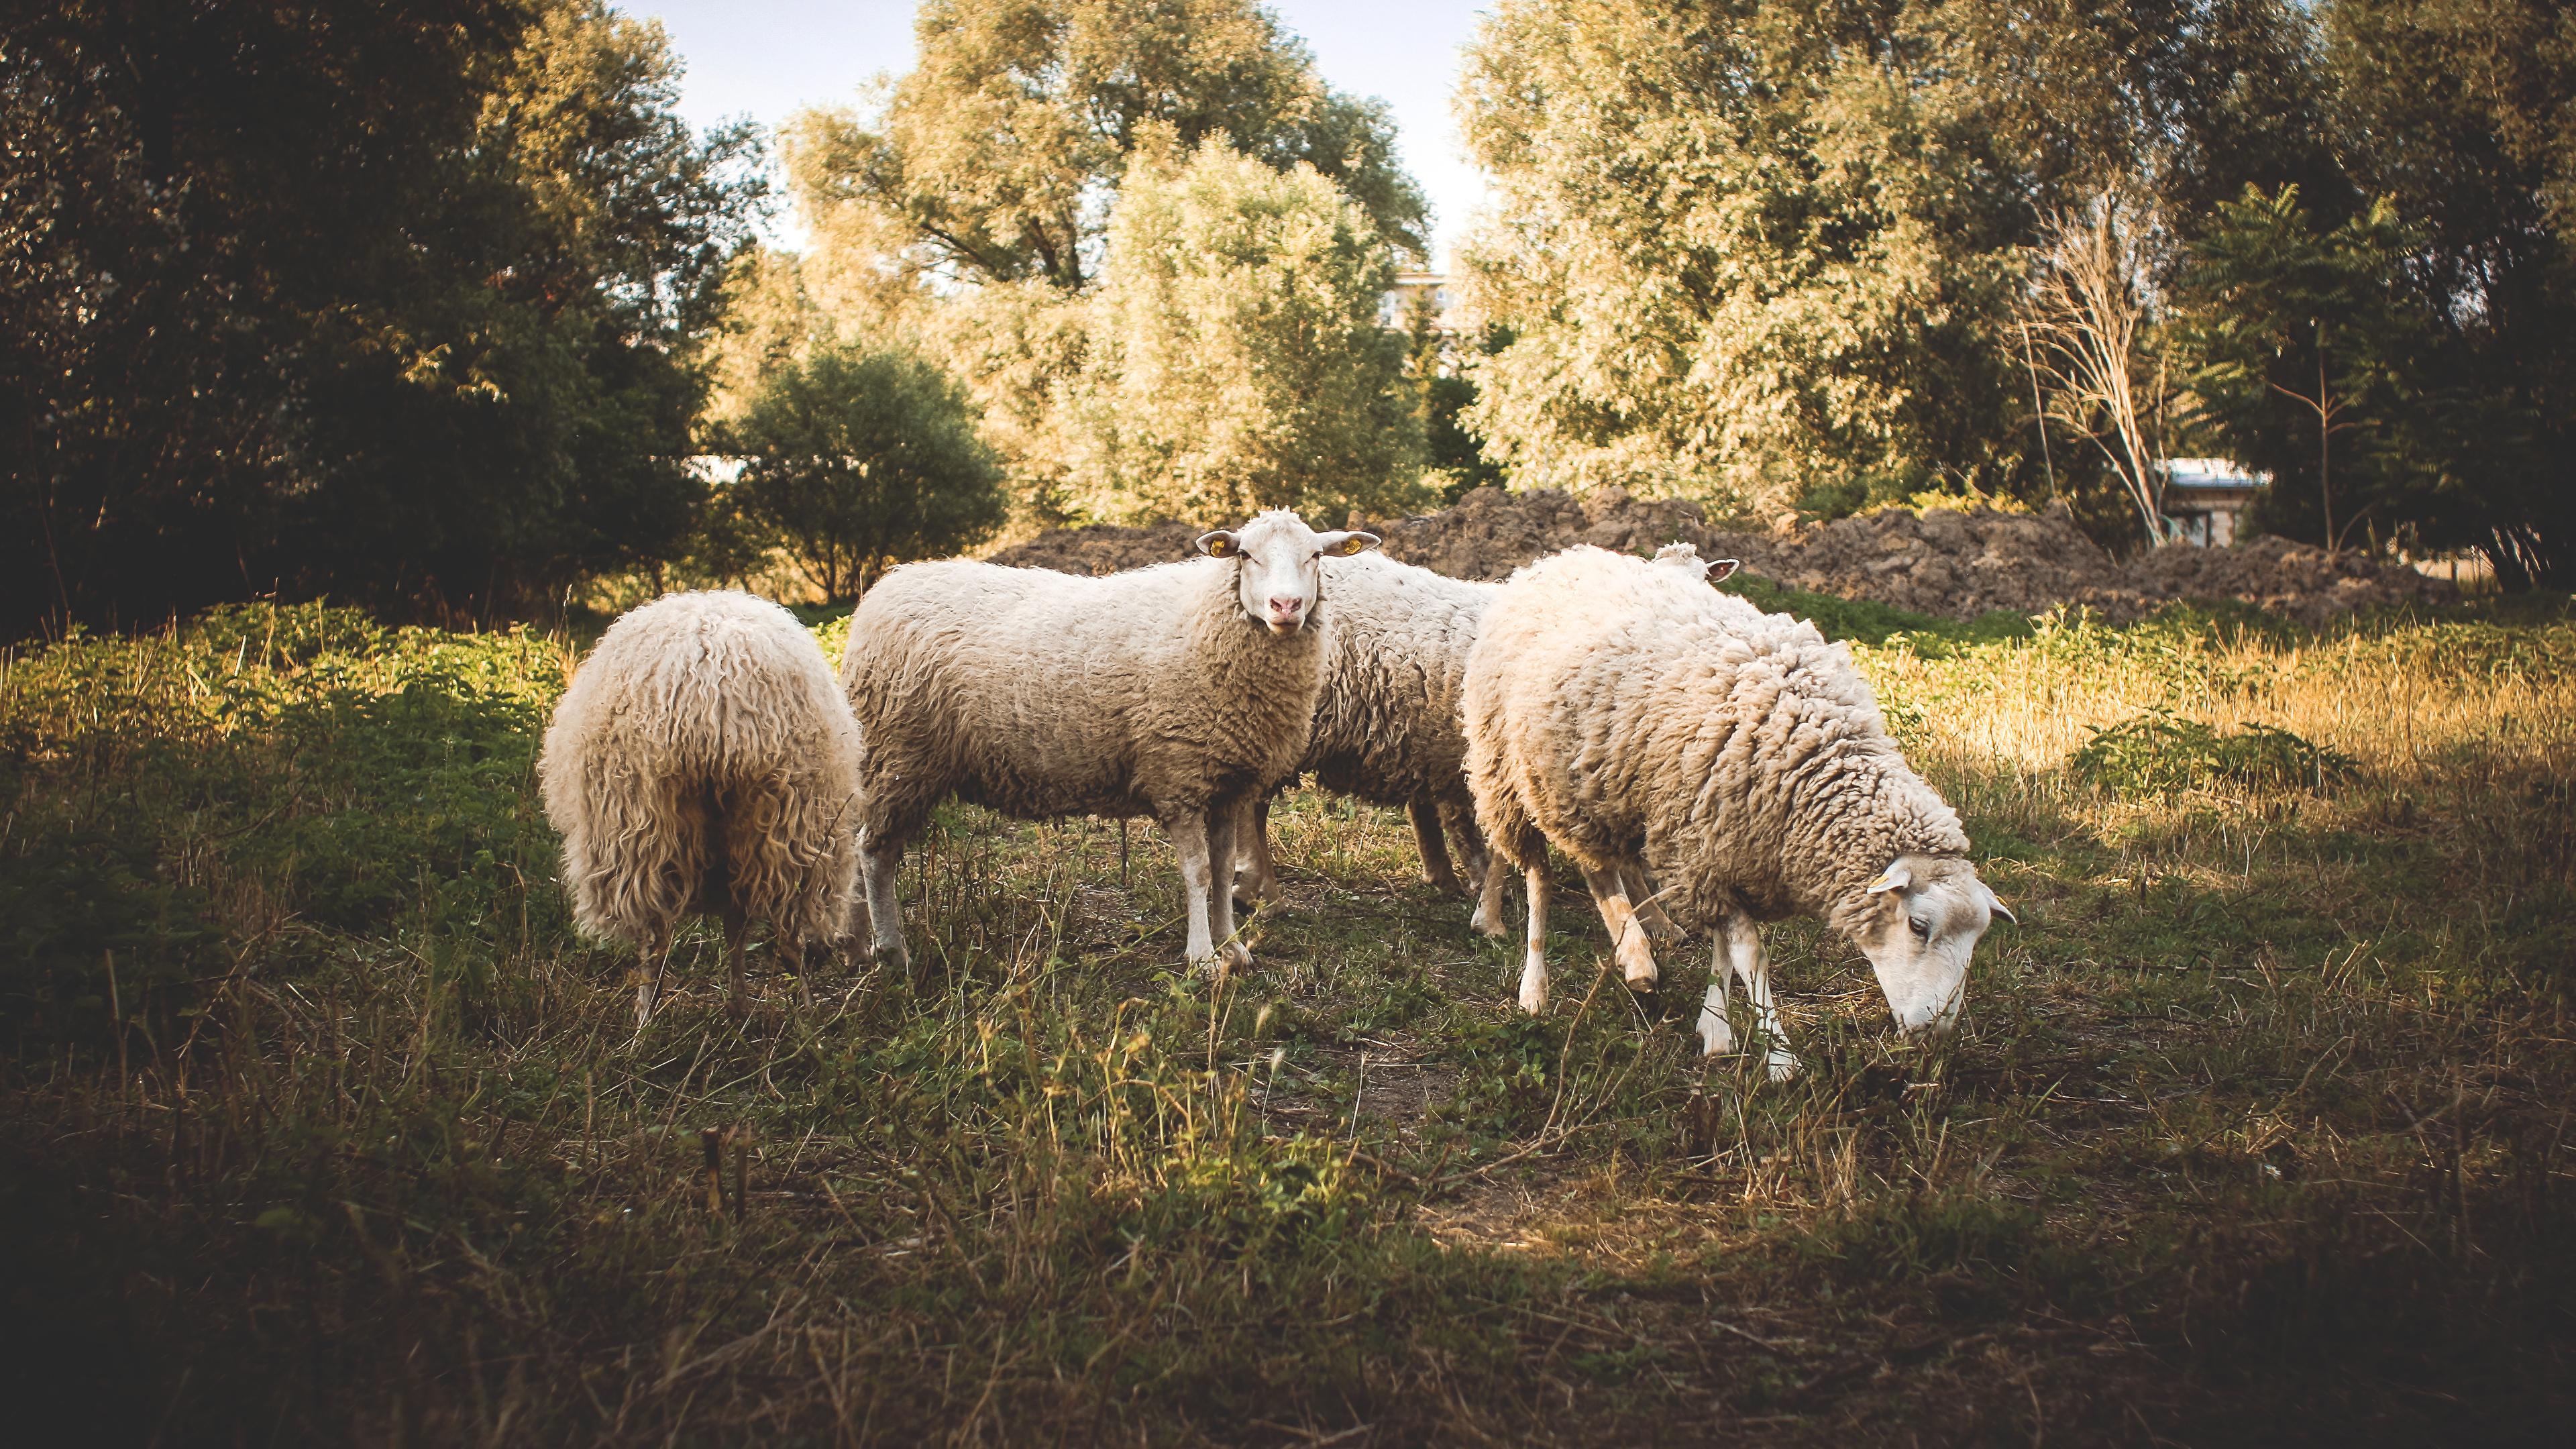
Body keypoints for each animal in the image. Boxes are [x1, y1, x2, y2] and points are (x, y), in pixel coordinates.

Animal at [538, 590, 862, 1032]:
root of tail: (711, 691)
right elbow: (737, 927)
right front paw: (739, 1006)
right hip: (783, 818)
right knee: (784, 926)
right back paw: (803, 1015)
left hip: (643, 825)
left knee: (656, 936)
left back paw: (647, 1021)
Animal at [841, 510, 1377, 975]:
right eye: (1245, 555)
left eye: (1316, 555)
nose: (1286, 606)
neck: (1208, 622)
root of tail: (888, 586)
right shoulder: (1178, 774)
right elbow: (1199, 873)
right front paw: (1202, 958)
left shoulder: (1230, 782)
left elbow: (1224, 871)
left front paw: (1233, 947)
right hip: (901, 754)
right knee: (874, 853)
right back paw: (892, 951)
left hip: (897, 761)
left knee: (861, 850)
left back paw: (857, 948)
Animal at [1462, 545, 2012, 1079]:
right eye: (1919, 926)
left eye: (1978, 939)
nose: (1934, 1033)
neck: (1813, 755)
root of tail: (1551, 562)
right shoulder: (1701, 844)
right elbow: (1752, 956)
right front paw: (1781, 1060)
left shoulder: (1724, 850)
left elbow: (1725, 950)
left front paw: (1715, 1028)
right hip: (1510, 771)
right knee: (1540, 876)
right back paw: (1538, 986)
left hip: (1589, 787)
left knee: (1598, 869)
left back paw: (1635, 956)